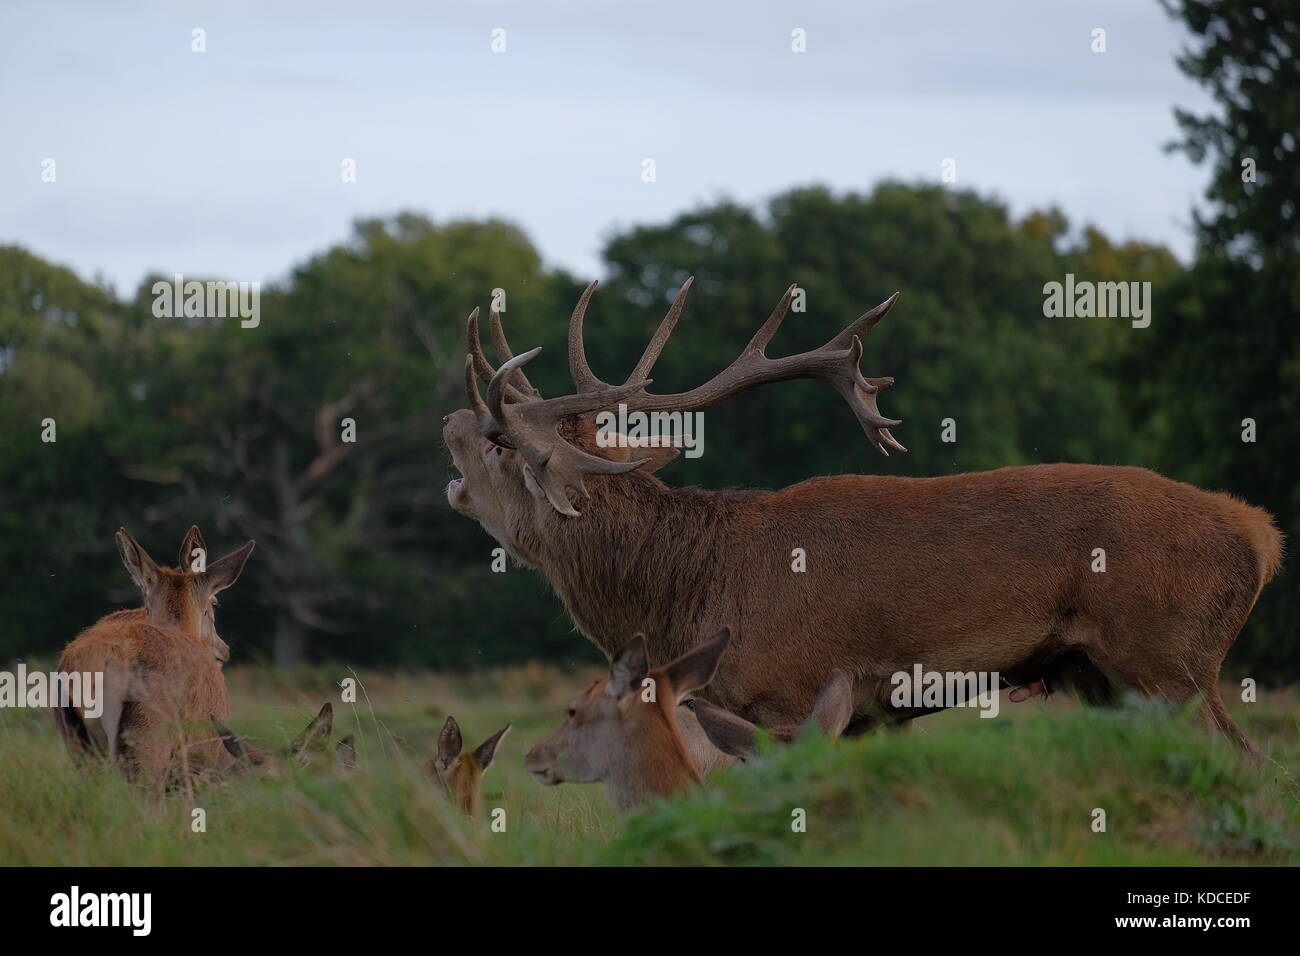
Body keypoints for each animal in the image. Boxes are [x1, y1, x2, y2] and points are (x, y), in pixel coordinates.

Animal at [442, 279, 1283, 762]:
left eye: (499, 443)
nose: (449, 421)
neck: (690, 590)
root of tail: (1263, 538)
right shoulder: (871, 714)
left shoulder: (789, 689)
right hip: (1097, 674)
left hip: (1169, 656)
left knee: (1245, 757)